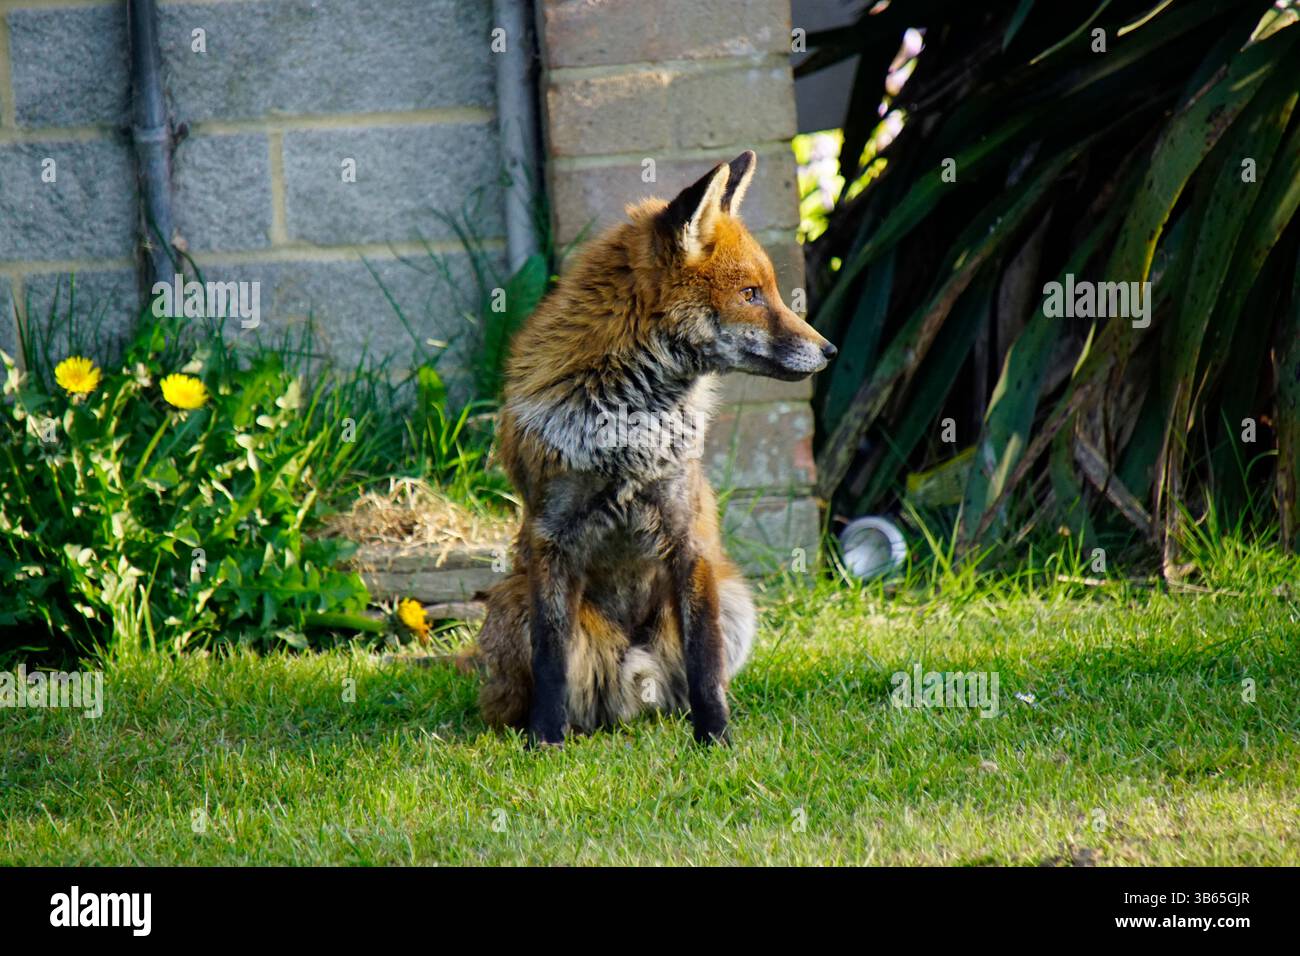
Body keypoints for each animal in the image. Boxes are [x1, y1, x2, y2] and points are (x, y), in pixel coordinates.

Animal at [473, 150, 836, 746]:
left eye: (771, 290)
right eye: (751, 295)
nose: (829, 351)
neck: (627, 430)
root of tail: (633, 680)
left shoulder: (686, 534)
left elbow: (705, 661)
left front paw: (716, 740)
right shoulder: (551, 539)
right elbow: (552, 664)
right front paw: (545, 740)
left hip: (734, 598)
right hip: (511, 603)